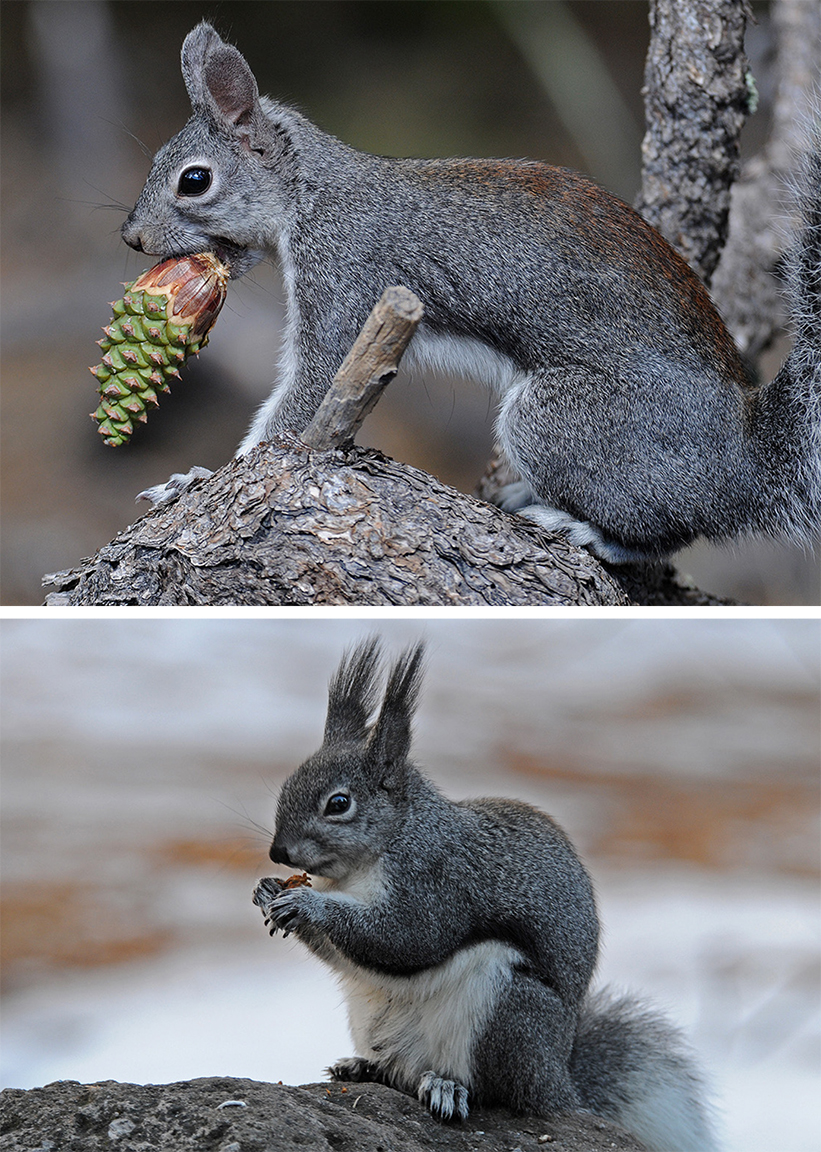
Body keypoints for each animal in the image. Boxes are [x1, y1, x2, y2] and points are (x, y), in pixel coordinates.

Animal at [121, 21, 820, 565]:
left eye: (194, 180)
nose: (131, 236)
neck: (313, 192)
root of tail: (742, 462)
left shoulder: (347, 273)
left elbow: (308, 387)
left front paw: (203, 478)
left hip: (563, 422)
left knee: (669, 533)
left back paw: (585, 529)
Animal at [252, 639, 719, 1152]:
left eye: (339, 803)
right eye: (289, 784)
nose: (278, 852)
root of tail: (558, 1081)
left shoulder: (438, 882)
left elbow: (405, 939)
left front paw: (306, 905)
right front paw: (267, 890)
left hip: (506, 1012)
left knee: (497, 1092)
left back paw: (446, 1087)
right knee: (400, 1073)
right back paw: (365, 1067)